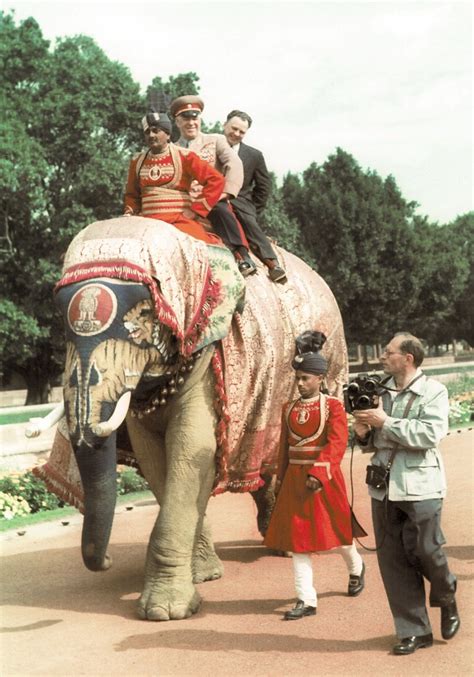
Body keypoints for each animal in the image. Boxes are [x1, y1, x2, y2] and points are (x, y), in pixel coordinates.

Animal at [32, 215, 344, 616]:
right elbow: (155, 458)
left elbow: (192, 450)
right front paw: (203, 577)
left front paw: (164, 611)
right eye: (61, 322)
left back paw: (285, 547)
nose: (107, 561)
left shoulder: (209, 354)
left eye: (144, 315)